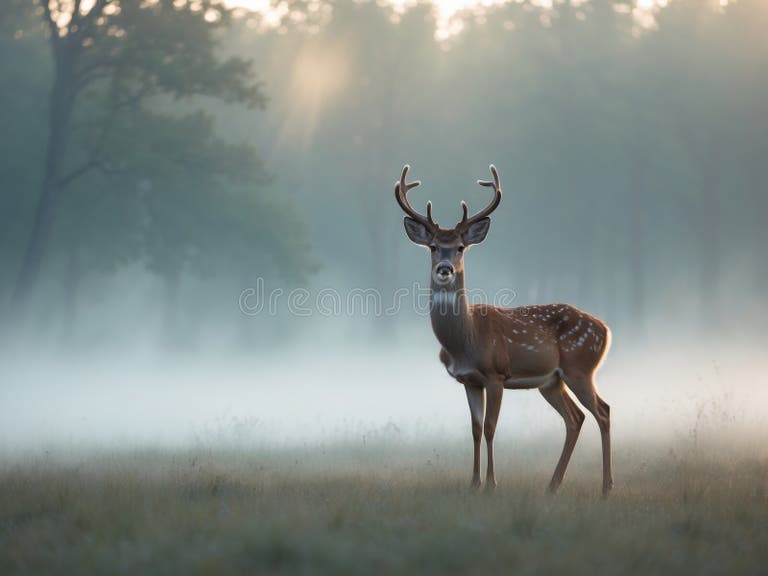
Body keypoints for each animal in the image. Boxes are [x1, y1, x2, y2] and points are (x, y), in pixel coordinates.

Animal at [395, 164, 613, 496]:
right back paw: (552, 485)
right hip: (552, 381)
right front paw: (473, 483)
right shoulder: (469, 381)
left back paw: (606, 487)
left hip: (580, 368)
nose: (444, 269)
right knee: (575, 418)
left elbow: (490, 427)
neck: (464, 342)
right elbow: (474, 428)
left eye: (460, 247)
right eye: (433, 247)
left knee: (603, 411)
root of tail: (605, 330)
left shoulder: (496, 374)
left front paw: (491, 484)